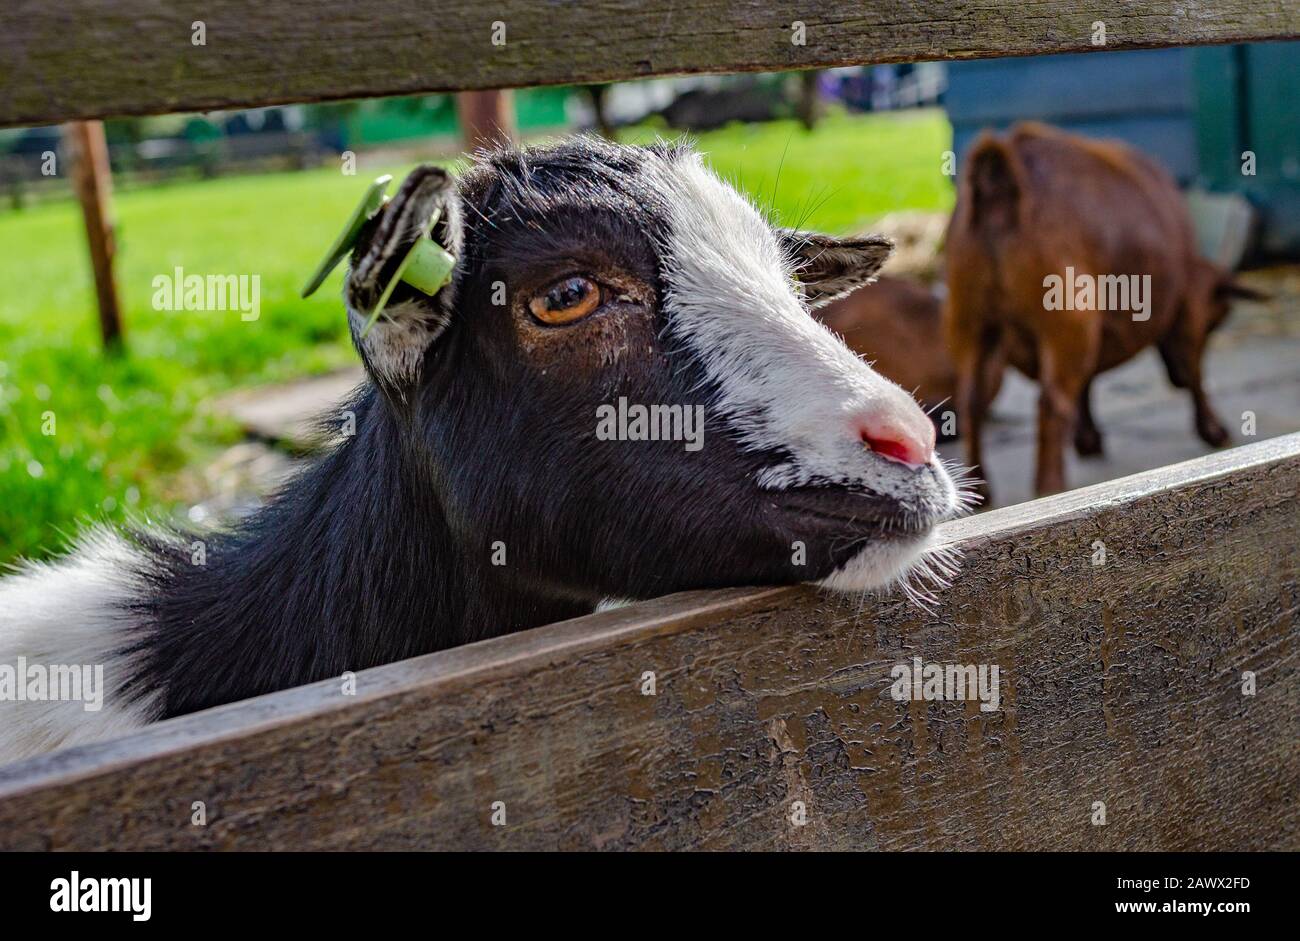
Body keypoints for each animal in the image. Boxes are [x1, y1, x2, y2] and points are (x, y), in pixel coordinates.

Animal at [945, 122, 1259, 498]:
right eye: (1213, 324)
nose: (1175, 381)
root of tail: (1002, 175)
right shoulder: (1185, 312)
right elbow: (1194, 368)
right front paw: (1212, 429)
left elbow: (1087, 381)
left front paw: (1088, 438)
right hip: (1065, 320)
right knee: (1051, 403)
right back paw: (1050, 486)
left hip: (969, 319)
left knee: (971, 399)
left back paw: (979, 487)